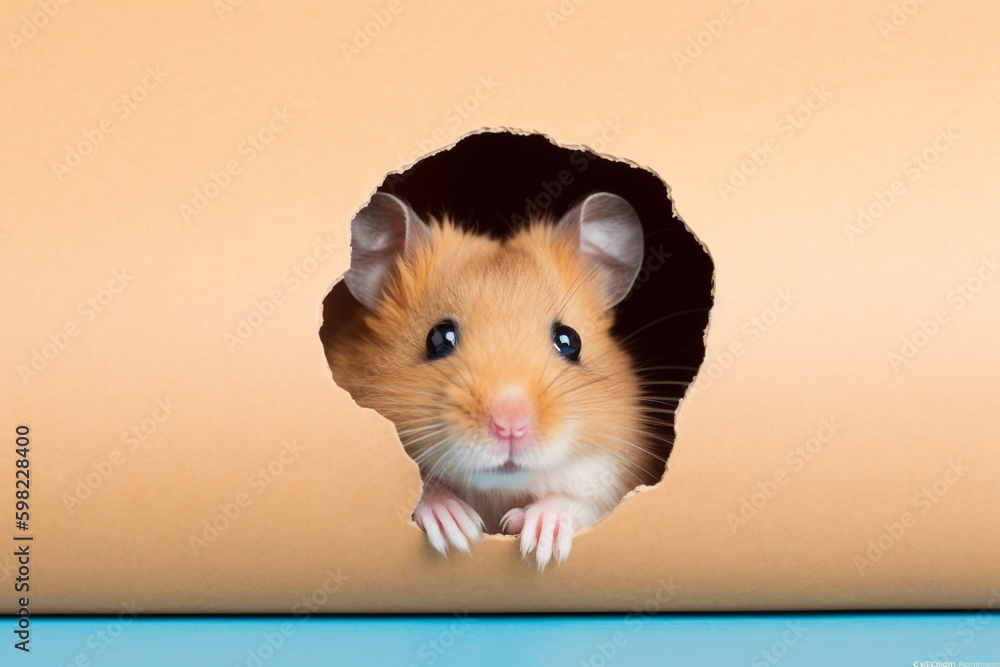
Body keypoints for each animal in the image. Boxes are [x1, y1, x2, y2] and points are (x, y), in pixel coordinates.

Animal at [325, 191, 657, 570]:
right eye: (438, 338)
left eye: (569, 341)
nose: (510, 426)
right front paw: (457, 529)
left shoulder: (614, 472)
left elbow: (578, 503)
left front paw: (538, 540)